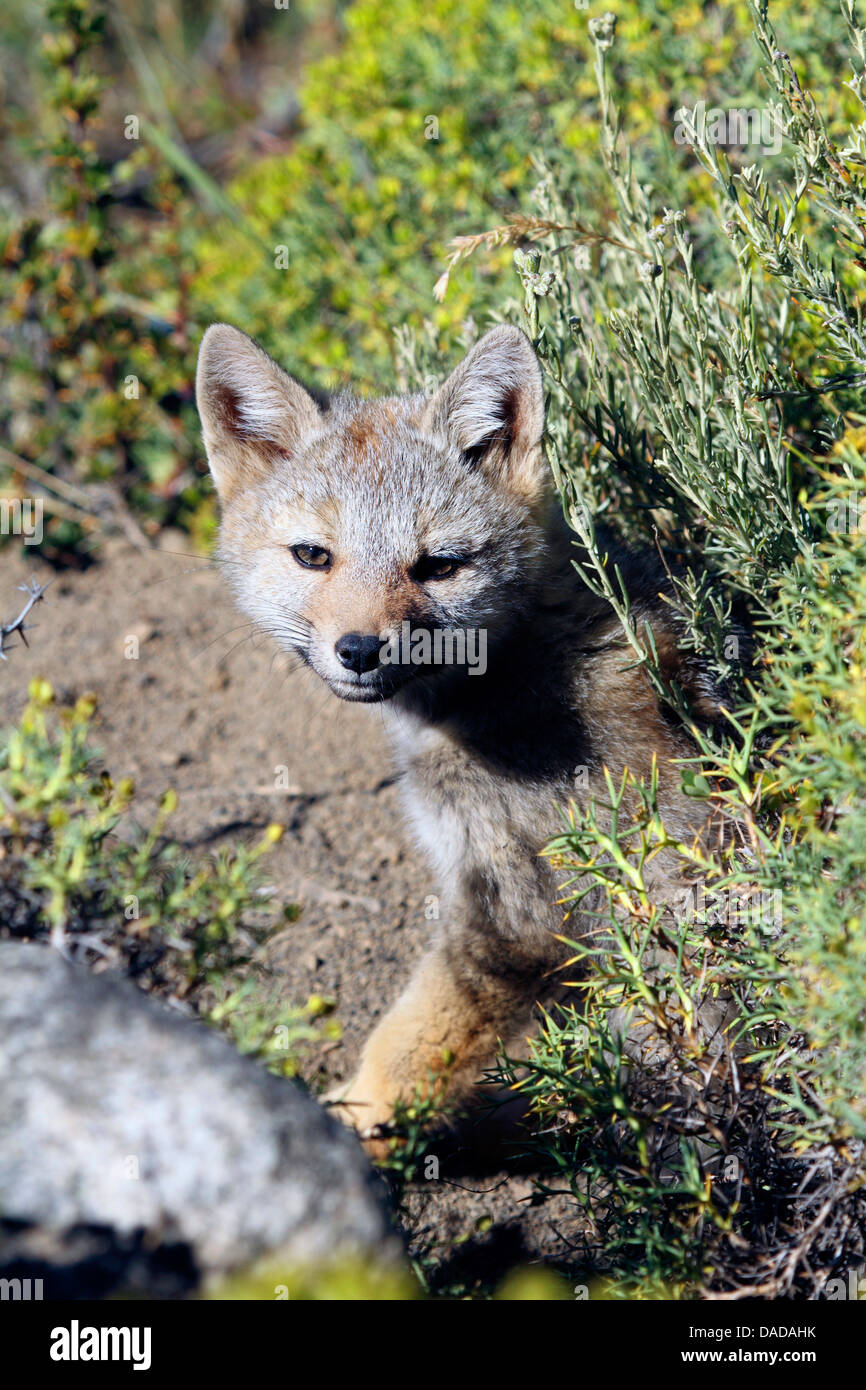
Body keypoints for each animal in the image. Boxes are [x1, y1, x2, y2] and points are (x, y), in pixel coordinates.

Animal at [195, 321, 734, 1151]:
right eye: (313, 556)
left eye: (439, 566)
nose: (360, 650)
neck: (520, 665)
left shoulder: (511, 914)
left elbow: (405, 1044)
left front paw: (354, 1124)